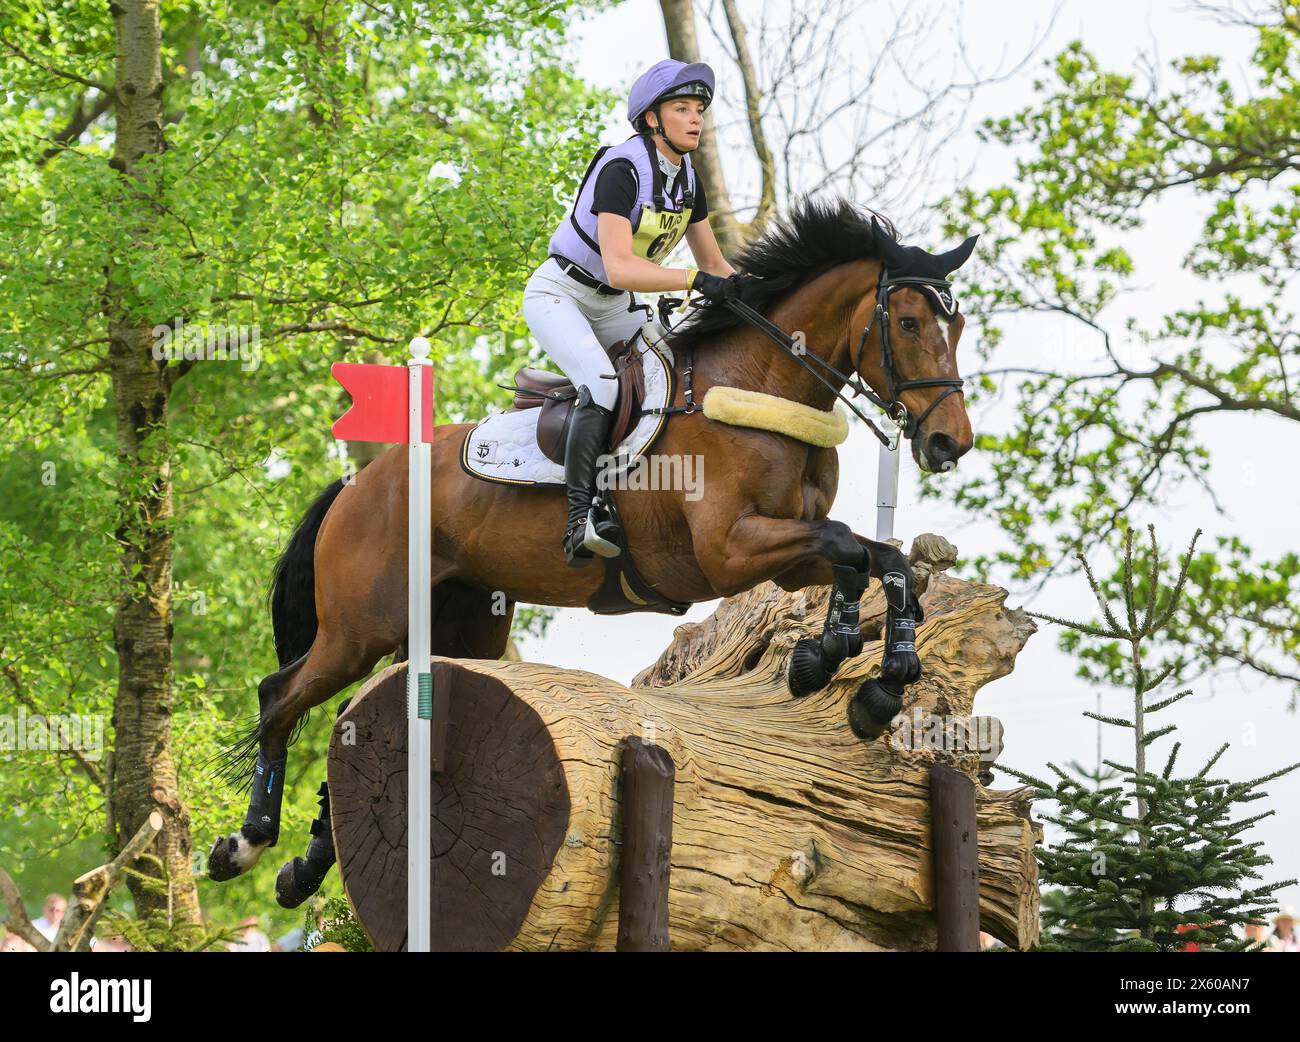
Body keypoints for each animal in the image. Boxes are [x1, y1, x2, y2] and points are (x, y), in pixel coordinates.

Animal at [206, 196, 978, 904]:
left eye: (958, 326)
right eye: (908, 323)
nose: (950, 443)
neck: (758, 388)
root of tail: (357, 481)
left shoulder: (784, 559)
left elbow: (880, 560)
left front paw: (867, 679)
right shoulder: (731, 551)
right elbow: (853, 551)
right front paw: (842, 667)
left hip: (460, 623)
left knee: (366, 709)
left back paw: (308, 863)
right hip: (361, 625)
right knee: (281, 697)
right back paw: (245, 844)